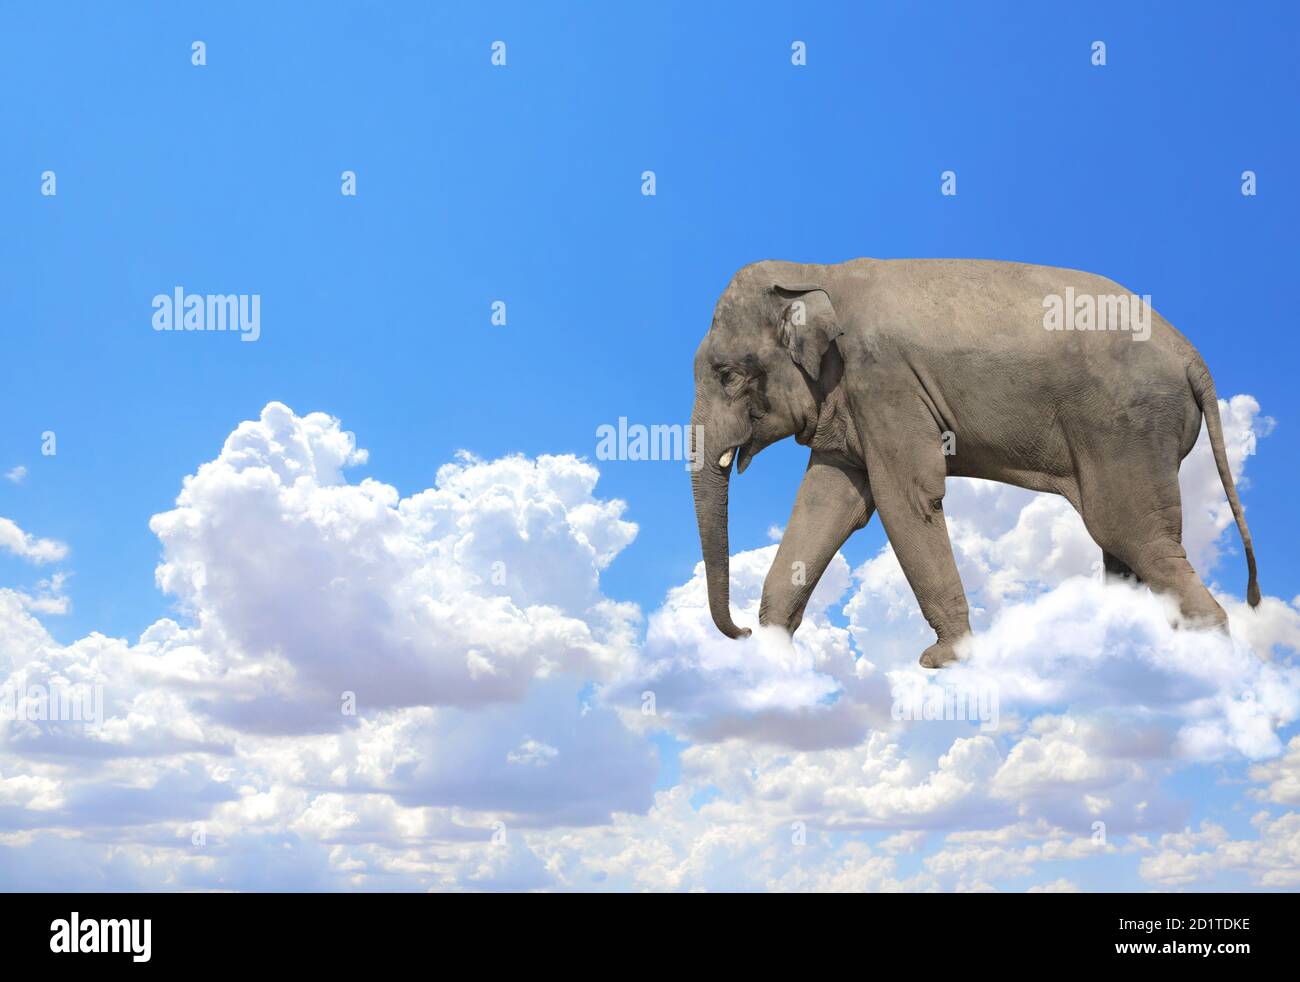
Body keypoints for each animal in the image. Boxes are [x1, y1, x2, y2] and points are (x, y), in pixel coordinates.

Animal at [689, 258, 1260, 668]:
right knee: (1127, 551)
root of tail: (1194, 358)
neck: (815, 271)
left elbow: (905, 498)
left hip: (1127, 431)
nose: (740, 631)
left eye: (727, 375)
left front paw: (946, 661)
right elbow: (828, 502)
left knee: (1132, 535)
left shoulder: (885, 382)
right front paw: (774, 655)